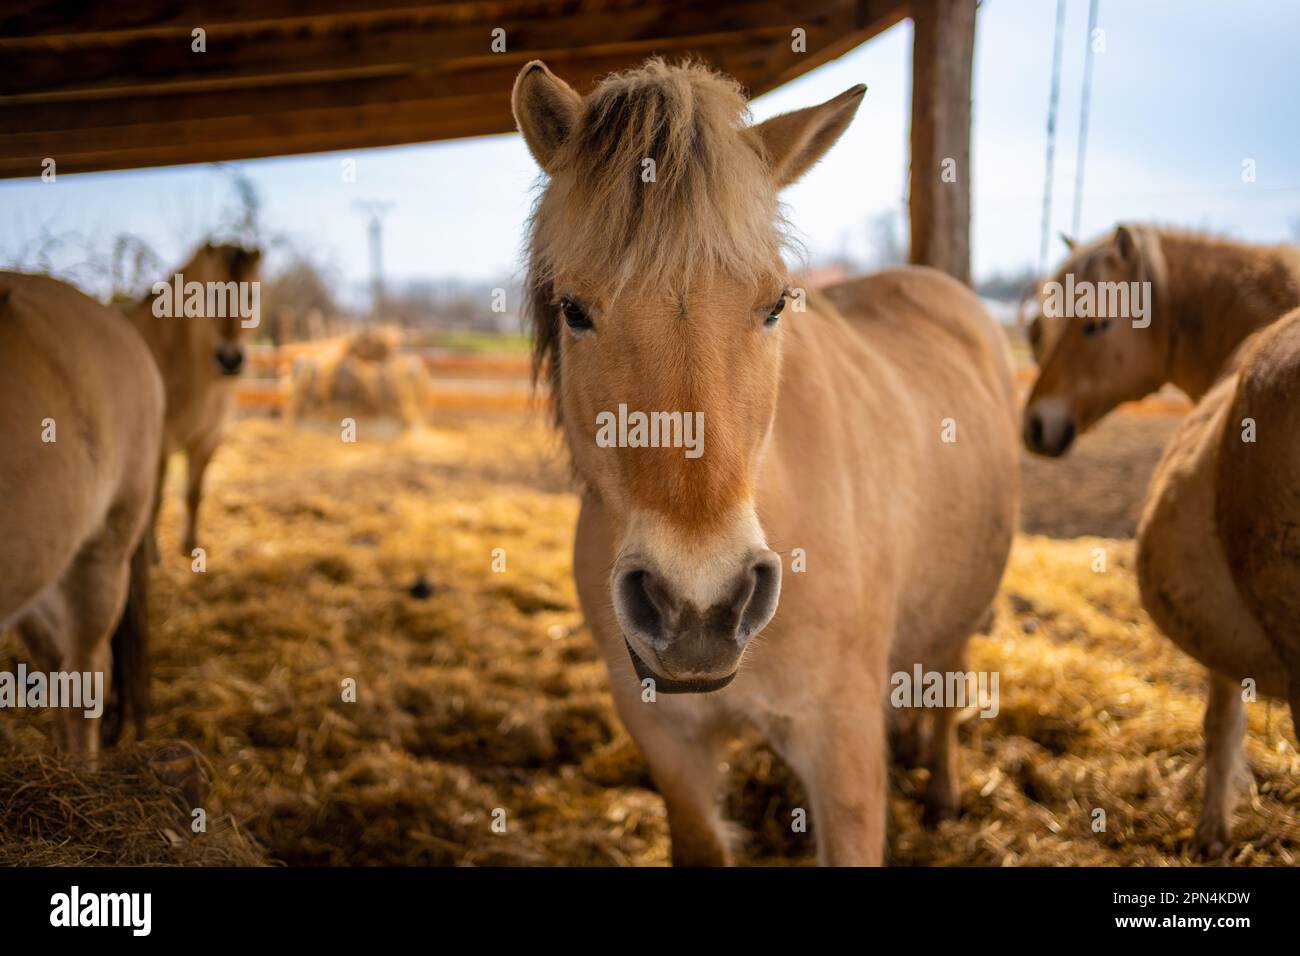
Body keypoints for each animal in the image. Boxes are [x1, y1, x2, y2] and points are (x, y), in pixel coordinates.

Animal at [124, 242, 261, 557]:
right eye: (209, 294)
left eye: (251, 296)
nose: (230, 359)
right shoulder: (161, 441)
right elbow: (157, 497)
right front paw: (152, 552)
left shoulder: (209, 437)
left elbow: (194, 492)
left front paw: (190, 544)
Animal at [513, 58, 1020, 865]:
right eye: (573, 309)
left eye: (777, 303)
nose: (699, 608)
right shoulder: (669, 747)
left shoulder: (843, 752)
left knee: (949, 677)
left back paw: (941, 789)